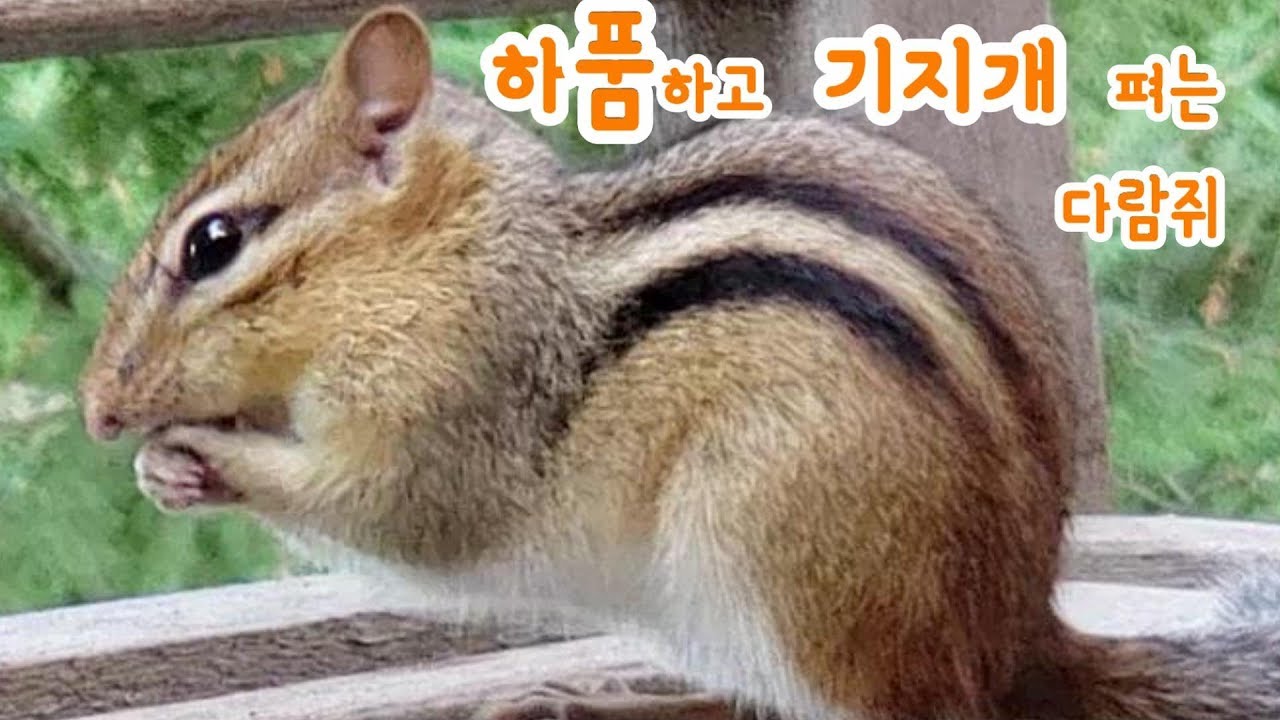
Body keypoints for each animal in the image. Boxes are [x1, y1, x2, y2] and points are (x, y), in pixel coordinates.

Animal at [79, 5, 1280, 720]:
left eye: (214, 244)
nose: (97, 410)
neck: (444, 256)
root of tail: (1018, 647)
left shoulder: (455, 404)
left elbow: (401, 513)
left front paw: (197, 458)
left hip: (772, 538)